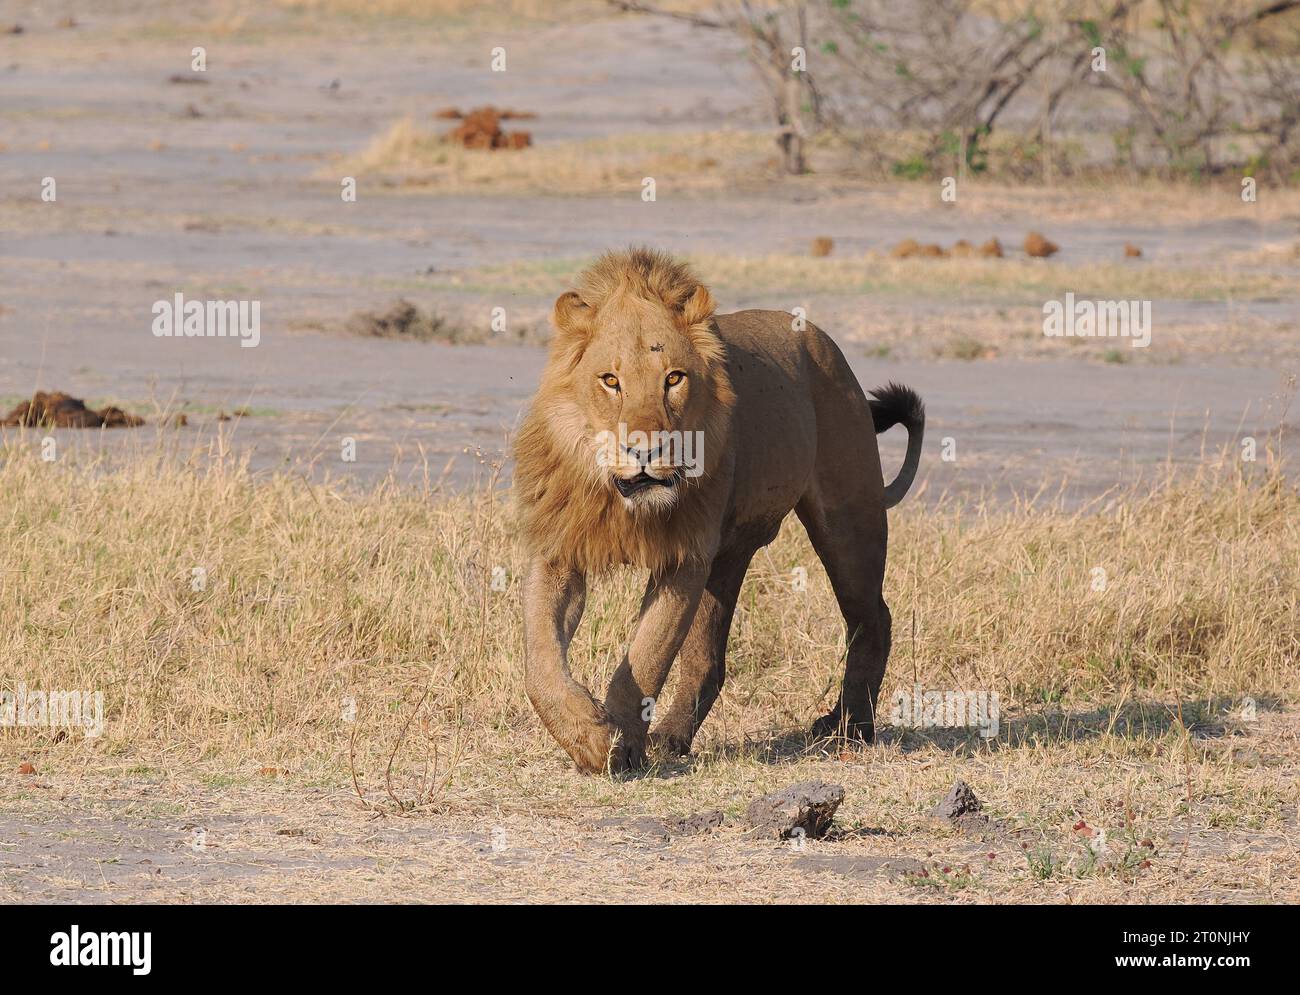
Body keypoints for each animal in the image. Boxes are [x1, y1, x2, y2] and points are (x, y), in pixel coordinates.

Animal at [514, 247, 924, 773]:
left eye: (673, 379)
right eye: (610, 381)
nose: (646, 450)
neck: (621, 501)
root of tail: (824, 342)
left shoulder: (685, 558)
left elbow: (646, 656)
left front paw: (618, 745)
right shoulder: (559, 550)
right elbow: (540, 663)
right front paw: (587, 737)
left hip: (848, 520)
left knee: (872, 618)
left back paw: (849, 727)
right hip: (729, 558)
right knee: (709, 658)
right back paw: (675, 737)